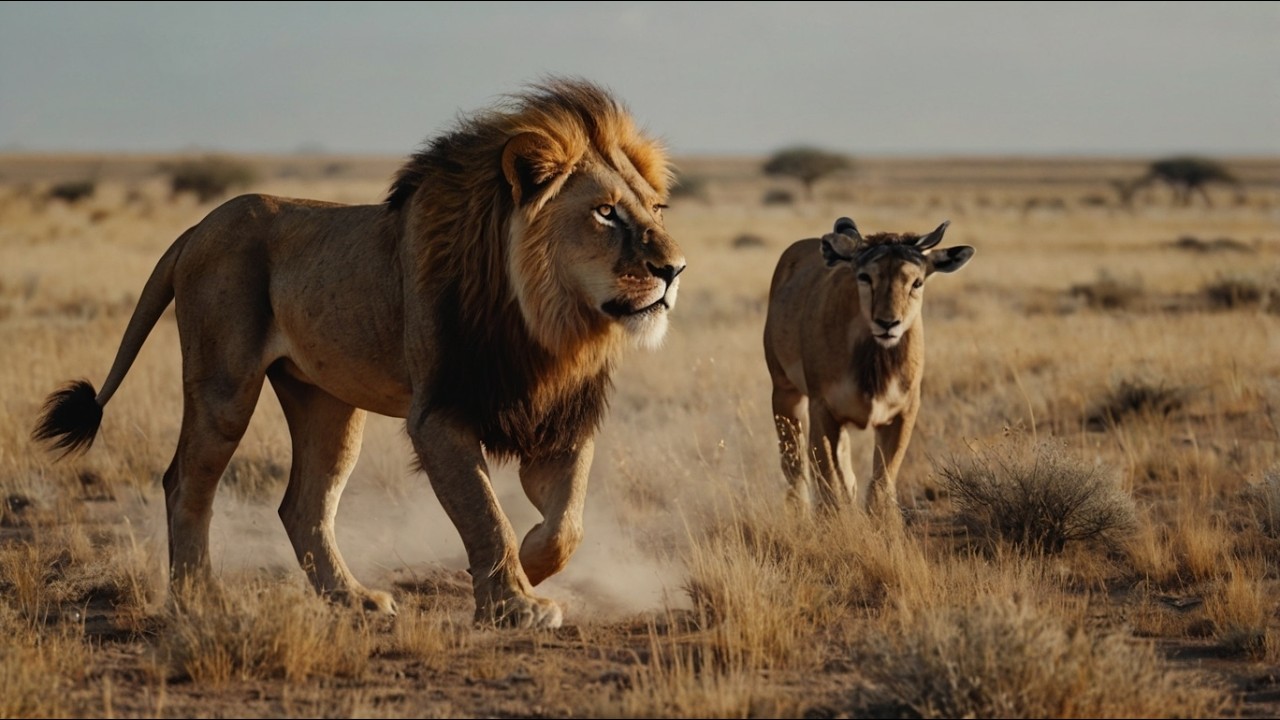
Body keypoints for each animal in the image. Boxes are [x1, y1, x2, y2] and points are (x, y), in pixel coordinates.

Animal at [32, 78, 685, 629]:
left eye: (656, 209)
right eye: (605, 212)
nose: (674, 269)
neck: (550, 324)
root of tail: (199, 226)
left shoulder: (559, 416)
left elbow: (566, 522)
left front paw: (531, 567)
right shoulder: (438, 417)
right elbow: (484, 512)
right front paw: (515, 604)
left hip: (326, 404)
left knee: (301, 507)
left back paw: (353, 599)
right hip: (224, 386)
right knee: (185, 482)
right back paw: (201, 601)